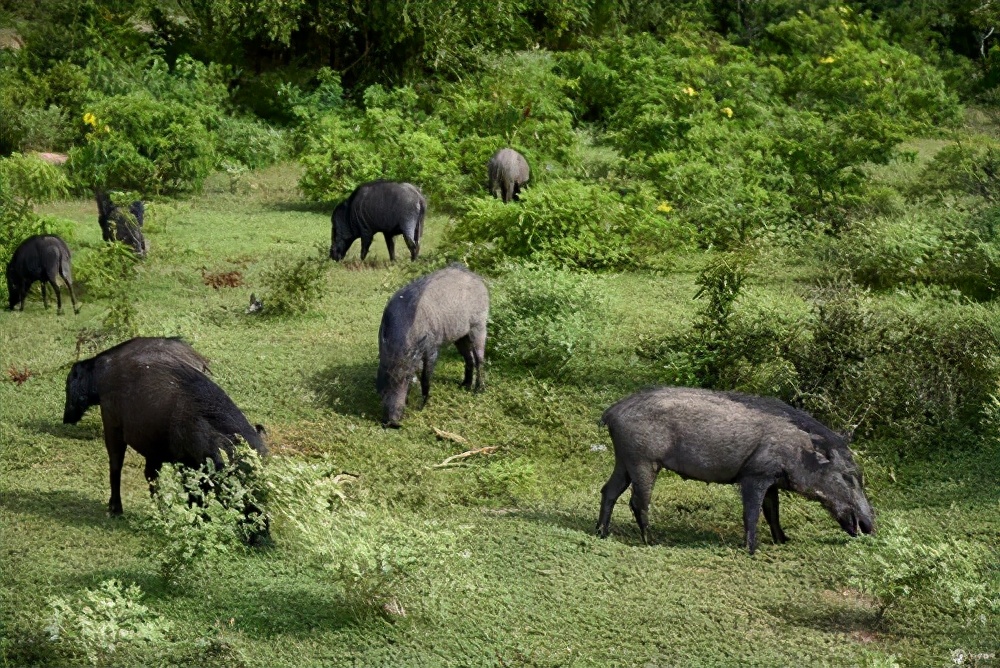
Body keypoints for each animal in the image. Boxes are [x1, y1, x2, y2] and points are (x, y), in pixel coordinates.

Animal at [377, 264, 489, 427]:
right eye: (384, 373)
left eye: (407, 377)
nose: (392, 422)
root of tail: (476, 277)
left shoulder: (432, 350)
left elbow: (425, 377)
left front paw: (421, 406)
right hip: (460, 336)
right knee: (469, 359)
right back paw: (464, 386)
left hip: (479, 326)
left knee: (480, 359)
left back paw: (479, 390)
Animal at [596, 387, 875, 554]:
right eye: (849, 475)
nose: (871, 525)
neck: (797, 450)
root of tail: (611, 412)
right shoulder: (754, 475)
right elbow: (752, 513)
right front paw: (752, 550)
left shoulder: (771, 480)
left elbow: (772, 512)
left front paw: (784, 541)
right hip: (643, 461)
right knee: (637, 501)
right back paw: (652, 541)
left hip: (624, 460)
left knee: (608, 490)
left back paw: (601, 533)